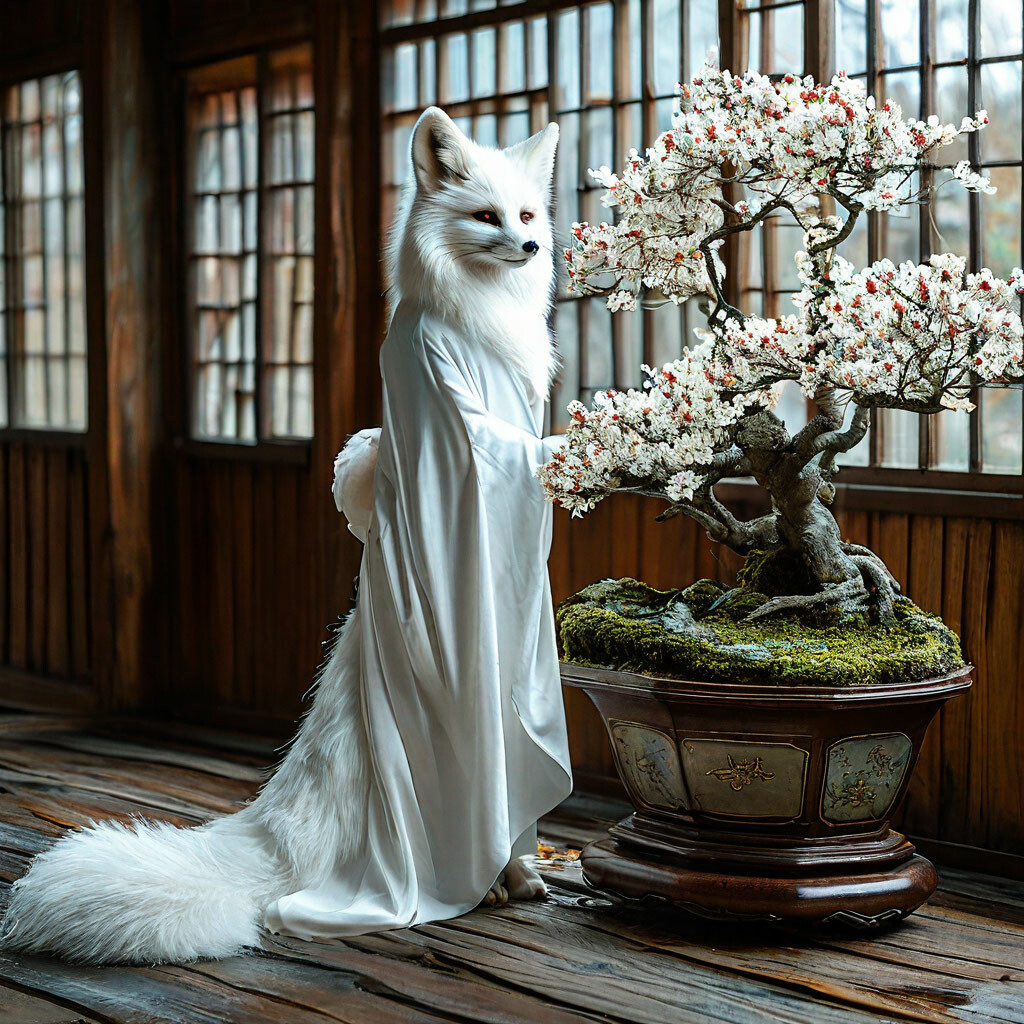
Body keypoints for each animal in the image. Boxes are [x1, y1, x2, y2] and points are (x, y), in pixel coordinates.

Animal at [0, 107, 567, 965]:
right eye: (485, 218)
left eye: (528, 216)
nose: (530, 248)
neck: (473, 305)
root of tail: (284, 858)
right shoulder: (458, 418)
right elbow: (502, 451)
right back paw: (487, 882)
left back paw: (515, 875)